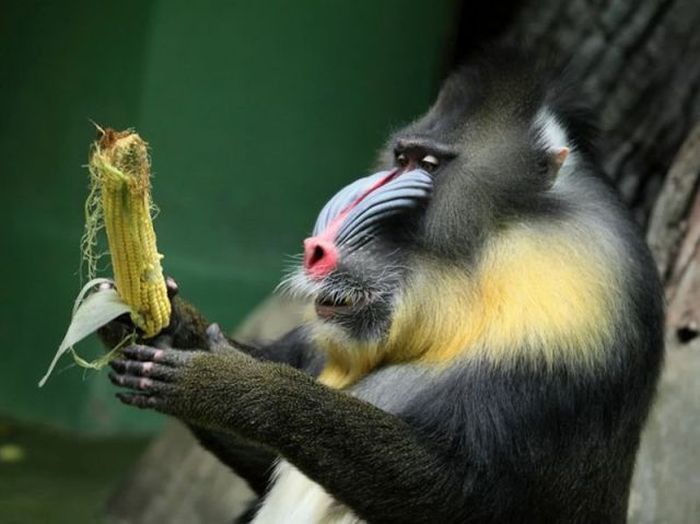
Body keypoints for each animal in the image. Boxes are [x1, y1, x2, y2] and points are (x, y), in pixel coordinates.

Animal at [103, 52, 664, 523]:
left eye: (430, 166)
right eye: (401, 158)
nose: (318, 248)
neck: (484, 265)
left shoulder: (571, 316)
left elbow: (465, 493)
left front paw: (228, 383)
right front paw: (159, 324)